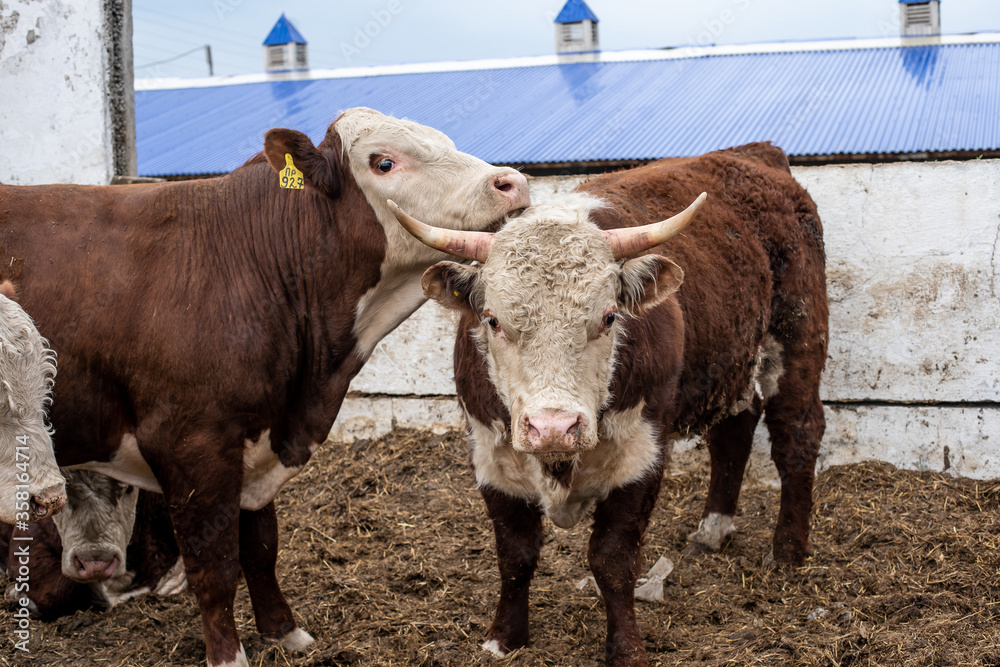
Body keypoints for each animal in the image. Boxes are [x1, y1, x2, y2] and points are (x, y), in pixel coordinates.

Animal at [388, 143, 829, 666]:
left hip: (797, 335)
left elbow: (612, 558)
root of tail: (757, 154)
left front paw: (626, 648)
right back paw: (713, 530)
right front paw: (504, 637)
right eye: (493, 320)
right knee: (734, 430)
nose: (553, 428)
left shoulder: (641, 453)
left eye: (610, 316)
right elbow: (515, 553)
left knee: (797, 435)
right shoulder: (490, 453)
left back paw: (787, 551)